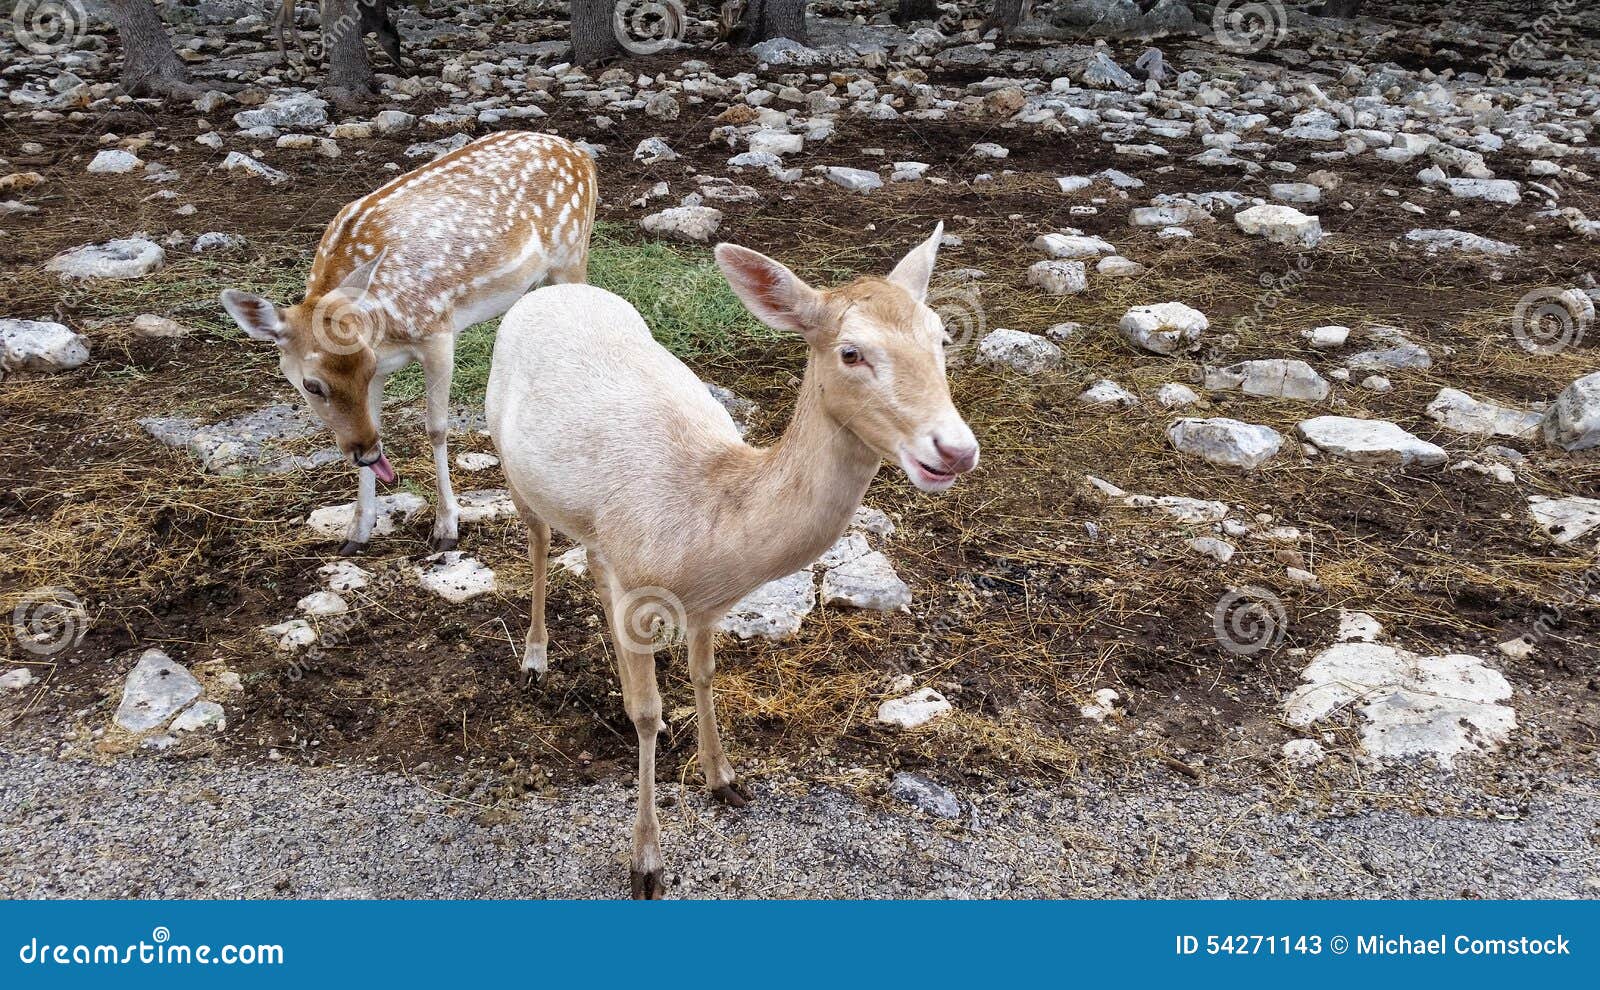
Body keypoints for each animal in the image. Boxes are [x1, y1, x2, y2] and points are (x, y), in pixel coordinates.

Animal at [221, 130, 597, 555]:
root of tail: (582, 155)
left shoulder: (437, 330)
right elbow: (379, 426)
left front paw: (446, 527)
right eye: (311, 385)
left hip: (572, 253)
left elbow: (436, 428)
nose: (365, 452)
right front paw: (357, 532)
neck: (382, 325)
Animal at [485, 226, 980, 898]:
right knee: (537, 540)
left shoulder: (702, 604)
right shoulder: (643, 584)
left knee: (590, 560)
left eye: (941, 336)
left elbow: (704, 674)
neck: (709, 530)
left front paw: (724, 779)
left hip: (593, 524)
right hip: (506, 455)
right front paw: (647, 864)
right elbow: (646, 713)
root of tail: (549, 292)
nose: (955, 450)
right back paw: (535, 658)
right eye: (851, 353)